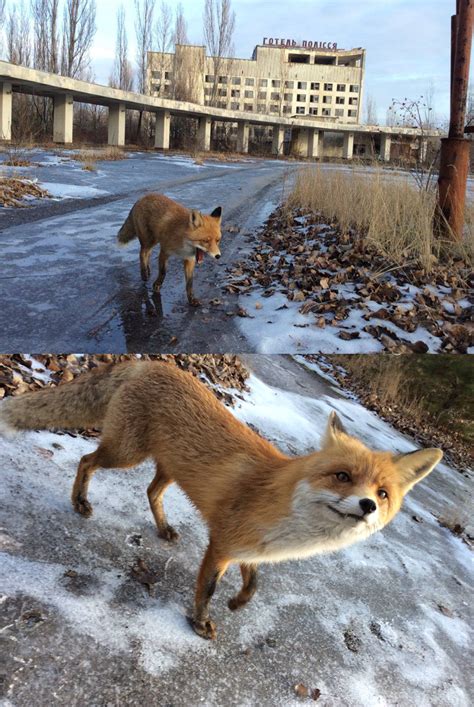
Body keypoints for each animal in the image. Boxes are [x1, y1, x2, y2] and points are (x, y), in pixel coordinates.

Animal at [0, 360, 443, 641]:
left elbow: (255, 583)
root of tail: (148, 363)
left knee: (150, 491)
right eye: (343, 477)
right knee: (86, 460)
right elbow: (207, 589)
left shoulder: (248, 548)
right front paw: (201, 623)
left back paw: (163, 528)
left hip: (167, 468)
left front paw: (237, 604)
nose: (368, 506)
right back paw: (80, 502)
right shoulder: (222, 543)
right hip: (125, 454)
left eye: (383, 493)